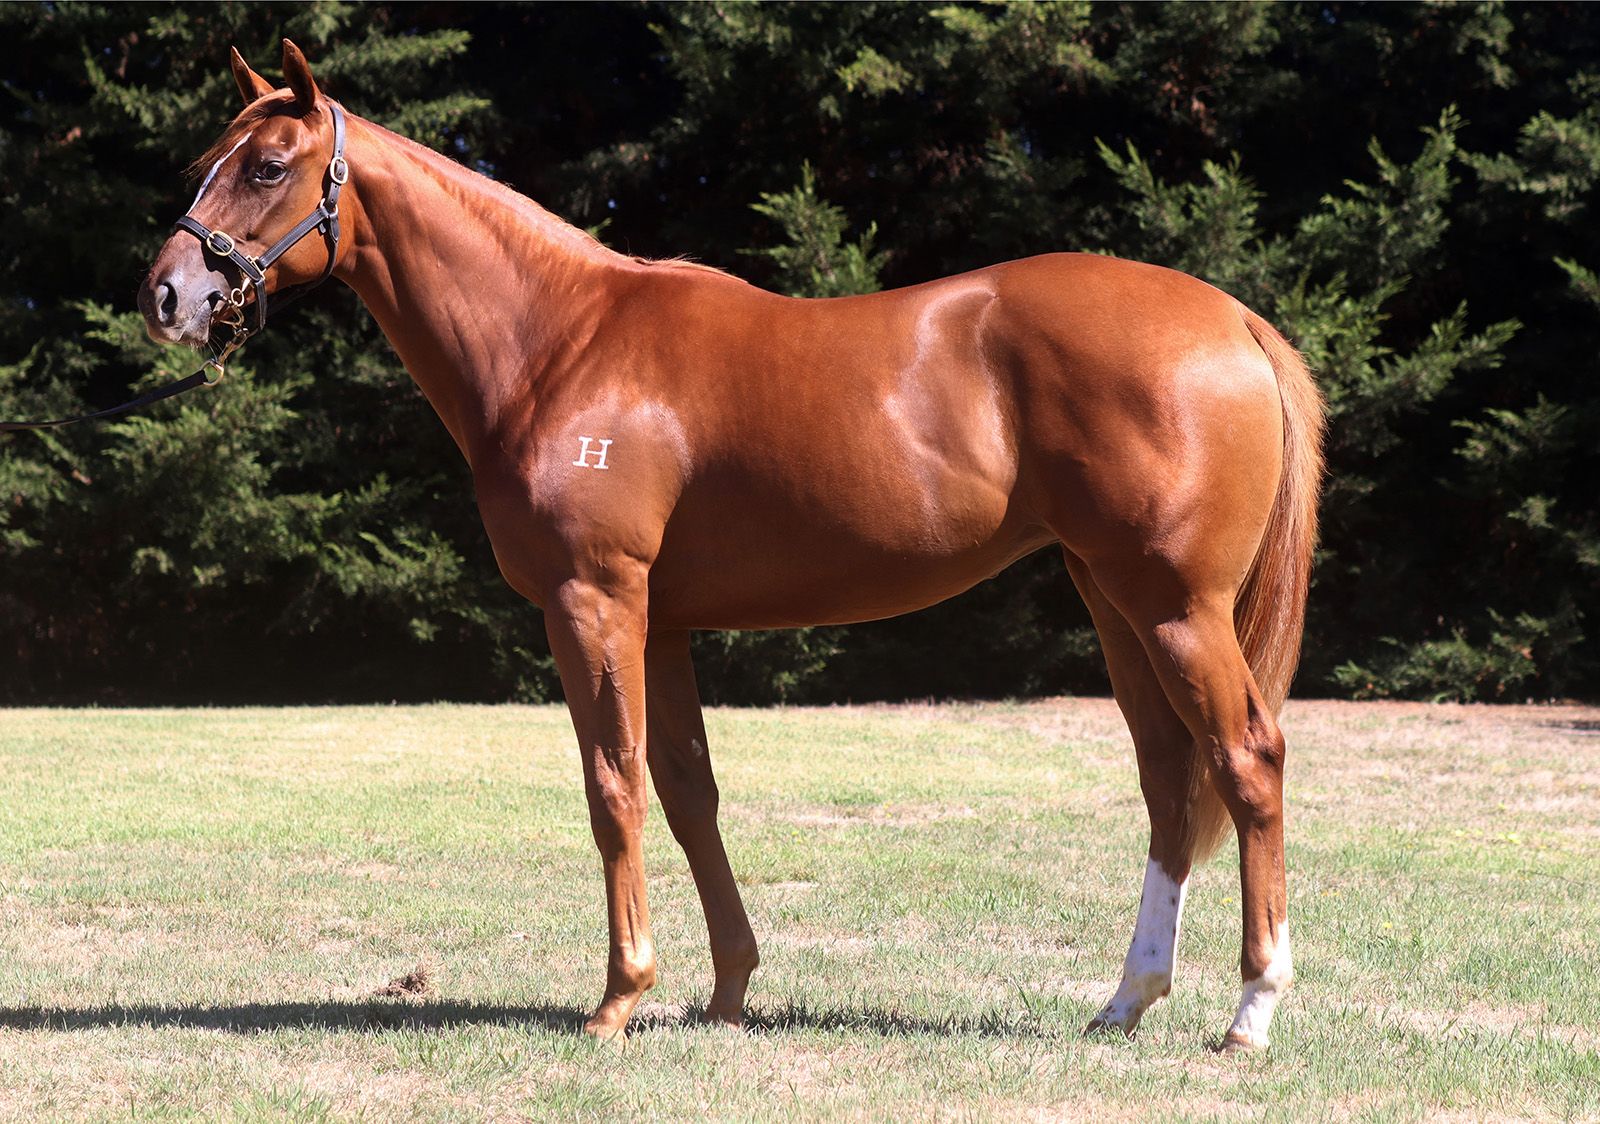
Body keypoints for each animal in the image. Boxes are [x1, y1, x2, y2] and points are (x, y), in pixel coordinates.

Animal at [137, 40, 1323, 1051]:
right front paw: (725, 992)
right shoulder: (662, 624)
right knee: (1169, 778)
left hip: (1174, 607)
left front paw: (618, 999)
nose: (168, 296)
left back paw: (1250, 1012)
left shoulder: (593, 602)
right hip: (1114, 600)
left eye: (269, 166)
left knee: (1245, 759)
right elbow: (685, 790)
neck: (559, 342)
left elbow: (611, 785)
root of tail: (1231, 321)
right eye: (205, 164)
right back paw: (1123, 1001)